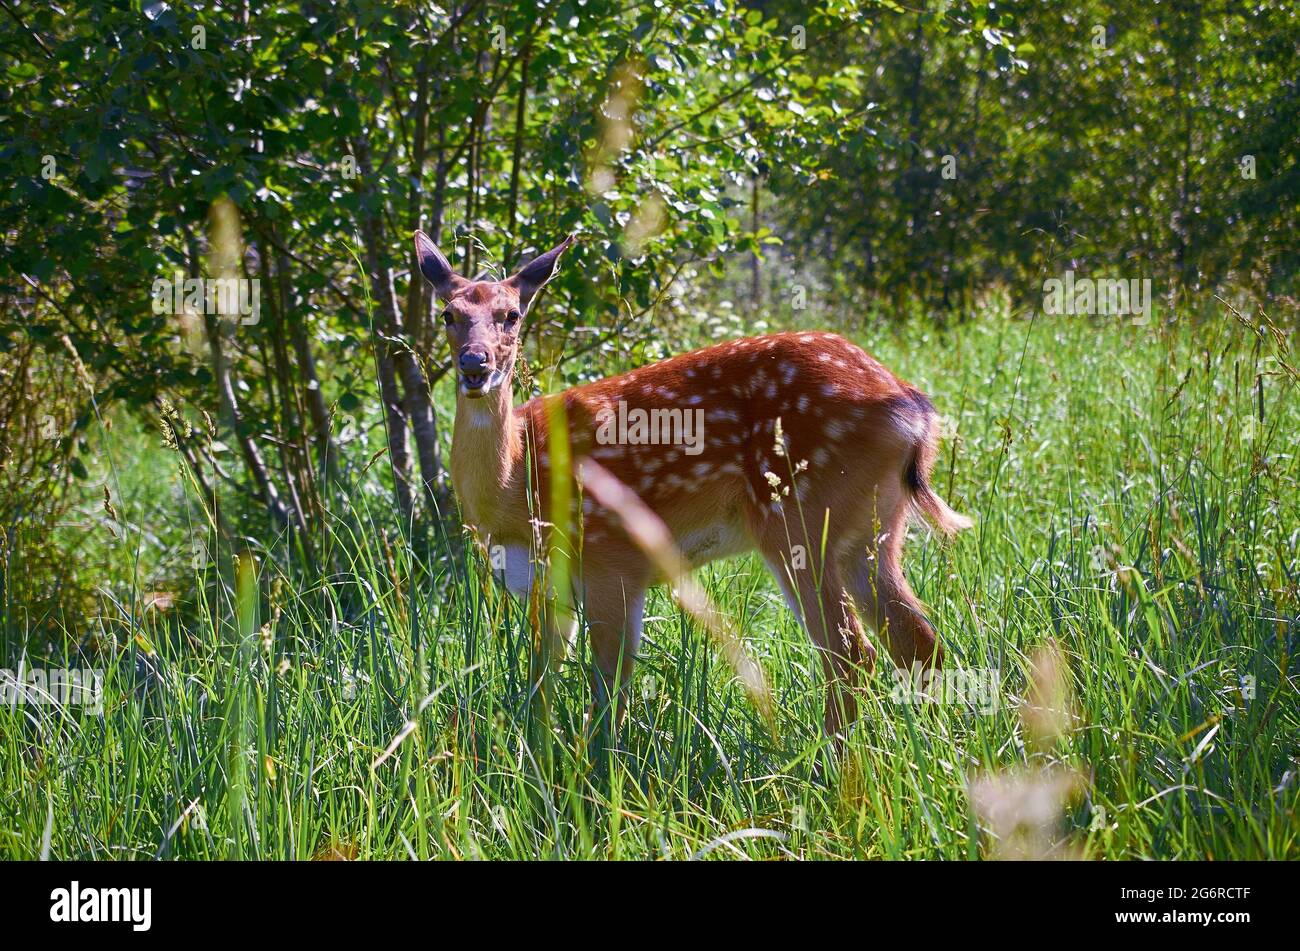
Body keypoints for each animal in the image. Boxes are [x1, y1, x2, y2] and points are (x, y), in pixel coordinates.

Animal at [413, 229, 971, 739]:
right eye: (448, 314)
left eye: (511, 315)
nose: (474, 363)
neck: (516, 483)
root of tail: (913, 407)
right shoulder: (544, 588)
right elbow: (539, 688)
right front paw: (540, 763)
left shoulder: (614, 560)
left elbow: (608, 692)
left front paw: (599, 774)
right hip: (871, 531)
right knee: (919, 642)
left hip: (797, 517)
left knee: (852, 651)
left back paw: (832, 766)